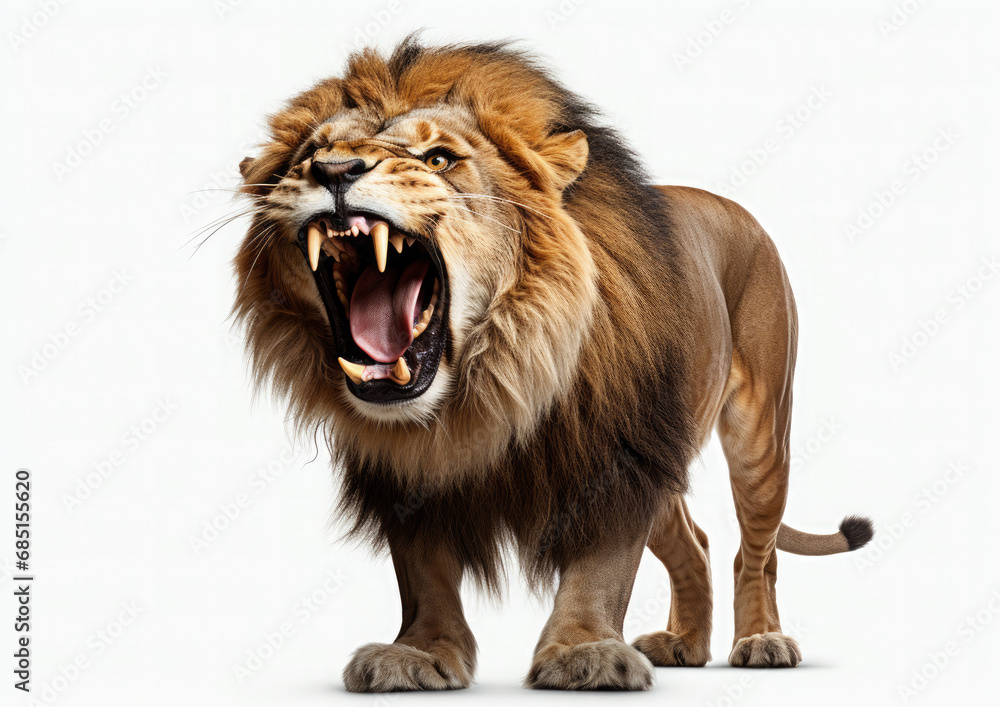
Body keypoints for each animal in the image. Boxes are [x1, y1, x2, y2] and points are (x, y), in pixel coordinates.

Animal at [231, 38, 874, 692]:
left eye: (439, 159)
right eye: (311, 154)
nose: (335, 171)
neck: (491, 382)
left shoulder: (621, 453)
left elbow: (602, 566)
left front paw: (583, 652)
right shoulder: (410, 473)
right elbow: (424, 574)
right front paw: (419, 654)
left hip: (760, 438)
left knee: (756, 552)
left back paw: (763, 640)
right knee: (696, 543)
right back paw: (685, 645)